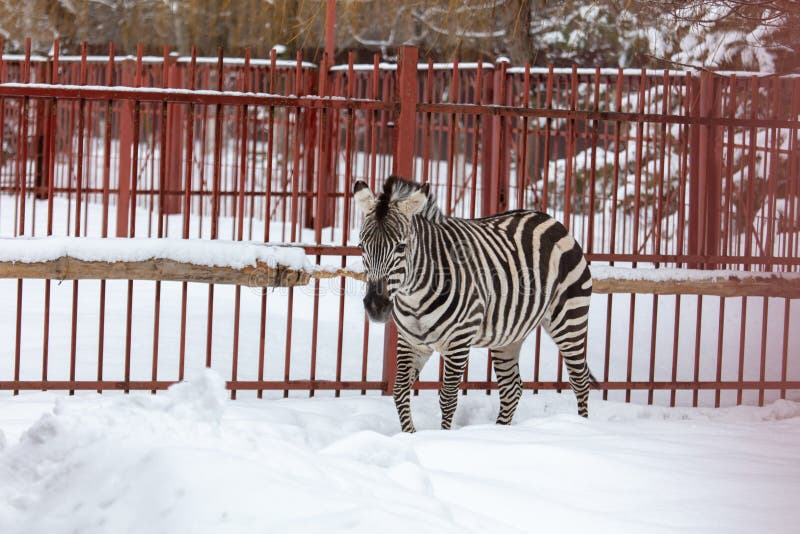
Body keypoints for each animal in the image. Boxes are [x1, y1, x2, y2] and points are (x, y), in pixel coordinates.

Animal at [354, 176, 595, 433]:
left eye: (401, 247)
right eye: (361, 246)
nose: (376, 306)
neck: (413, 296)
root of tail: (549, 219)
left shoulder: (459, 340)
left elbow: (448, 397)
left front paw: (443, 437)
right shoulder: (411, 342)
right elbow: (399, 391)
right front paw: (410, 435)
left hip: (570, 318)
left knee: (580, 379)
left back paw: (582, 427)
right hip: (509, 335)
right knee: (512, 388)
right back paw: (498, 432)